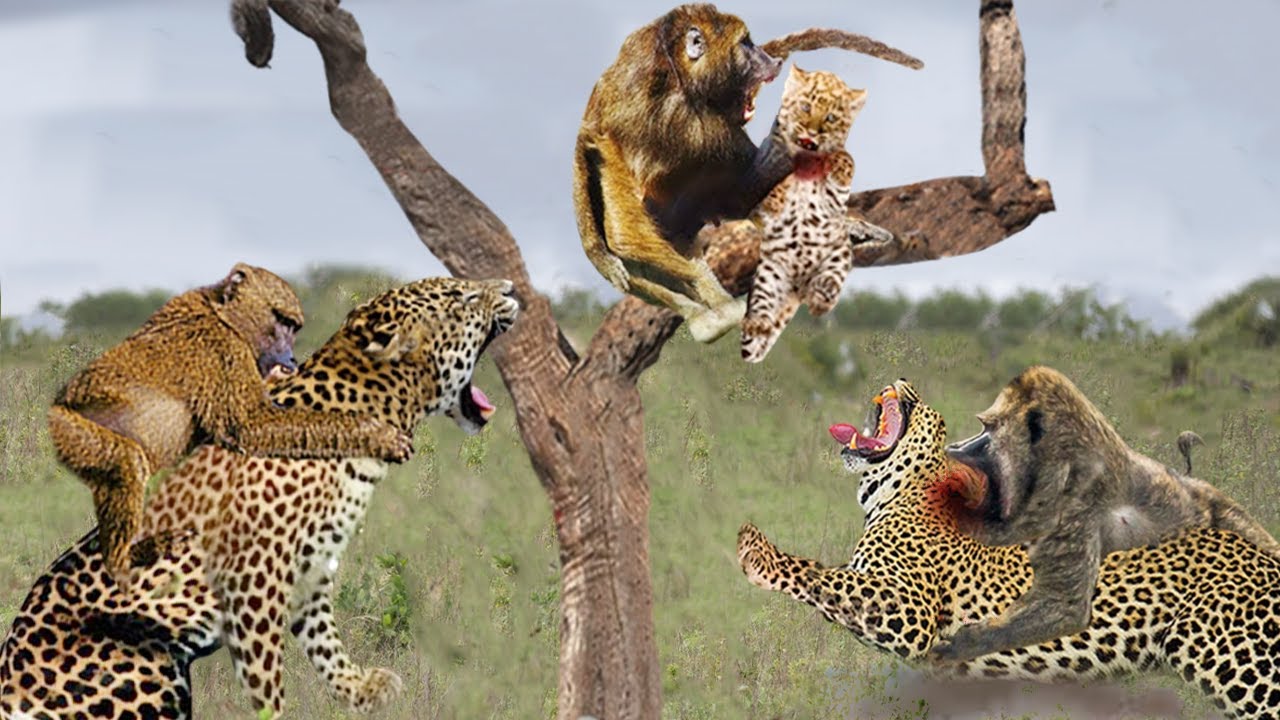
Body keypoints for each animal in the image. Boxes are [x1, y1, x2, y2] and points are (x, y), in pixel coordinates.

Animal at [47, 263, 414, 589]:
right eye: (281, 321)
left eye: (293, 327)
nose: (290, 358)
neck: (221, 311)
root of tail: (57, 407)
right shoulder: (224, 349)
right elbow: (250, 427)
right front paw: (379, 436)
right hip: (77, 432)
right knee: (129, 463)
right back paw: (123, 562)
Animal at [741, 65, 867, 363]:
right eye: (806, 106)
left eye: (831, 117)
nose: (812, 132)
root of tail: (798, 287)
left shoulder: (833, 202)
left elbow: (846, 161)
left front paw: (839, 164)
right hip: (771, 274)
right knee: (761, 310)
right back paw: (757, 325)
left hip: (836, 257)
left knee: (828, 285)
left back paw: (821, 296)